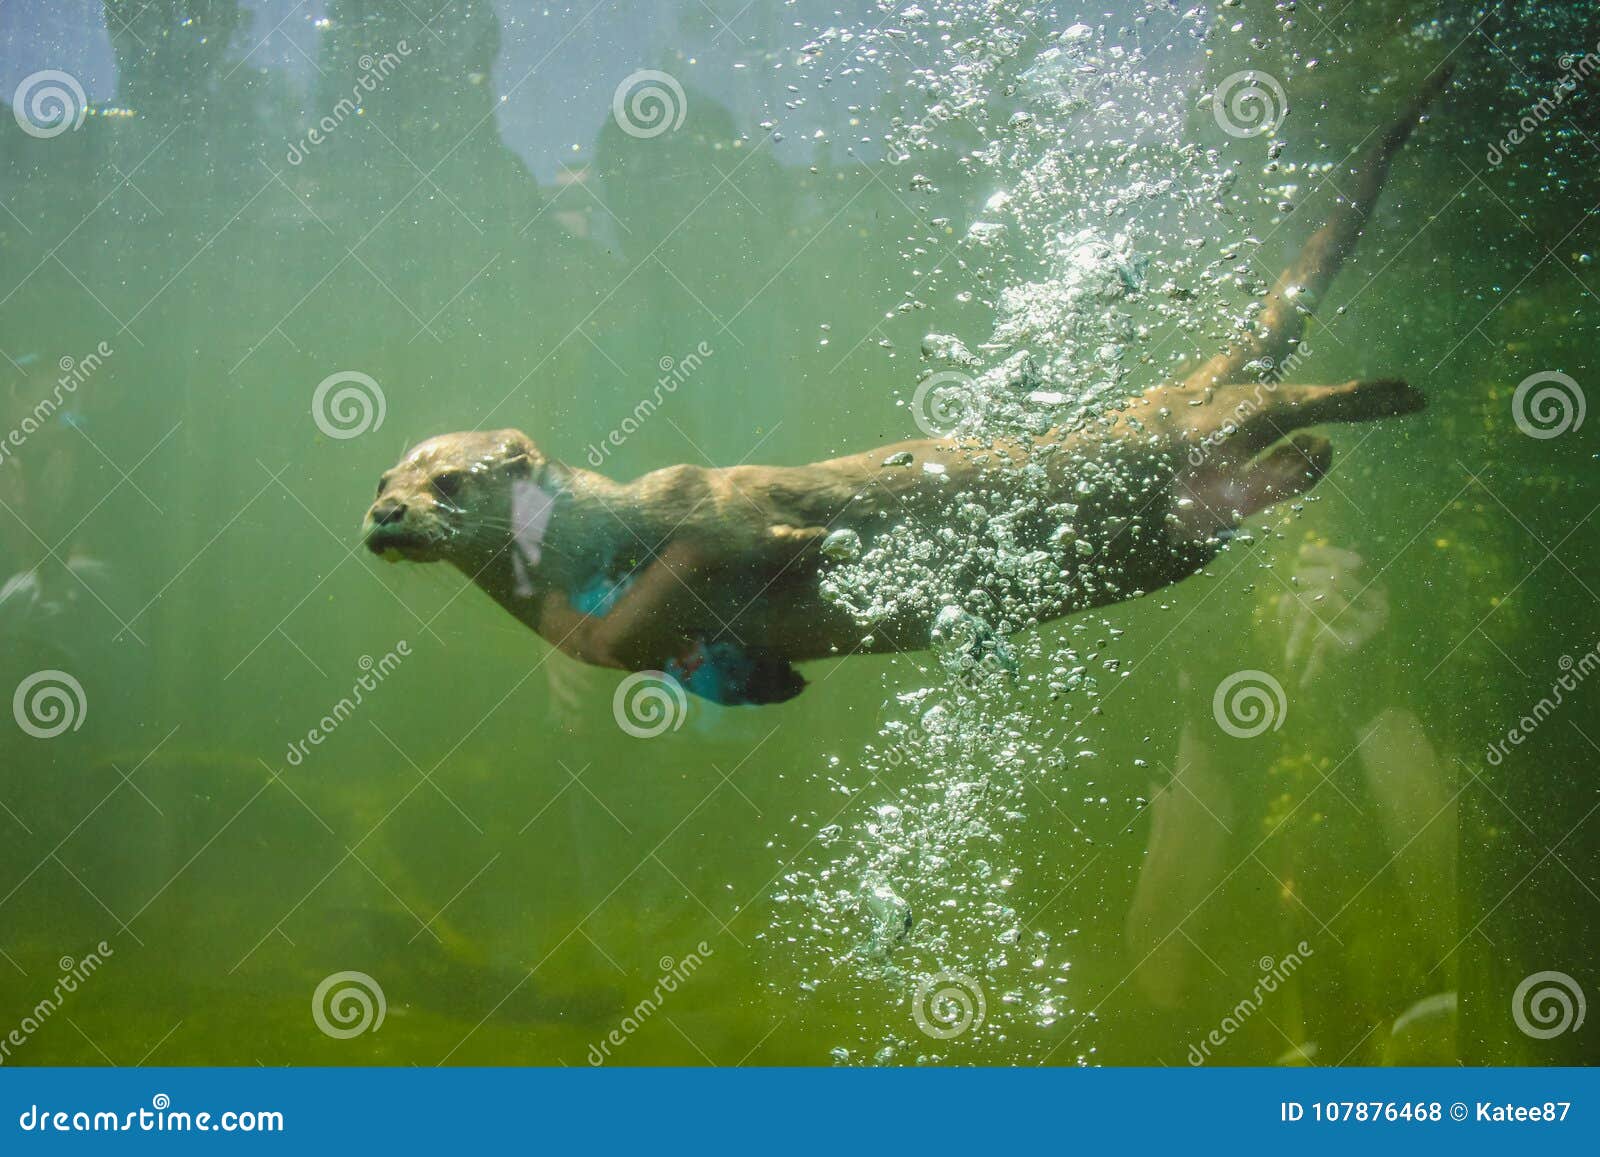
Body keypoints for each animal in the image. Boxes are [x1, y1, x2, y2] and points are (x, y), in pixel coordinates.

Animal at [363, 74, 1446, 706]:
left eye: (448, 482)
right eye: (383, 476)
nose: (384, 514)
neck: (583, 556)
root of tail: (1172, 392)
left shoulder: (692, 507)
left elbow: (735, 537)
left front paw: (808, 540)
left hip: (1184, 427)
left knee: (1273, 402)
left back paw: (1385, 392)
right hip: (1179, 511)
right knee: (1246, 483)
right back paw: (1321, 452)